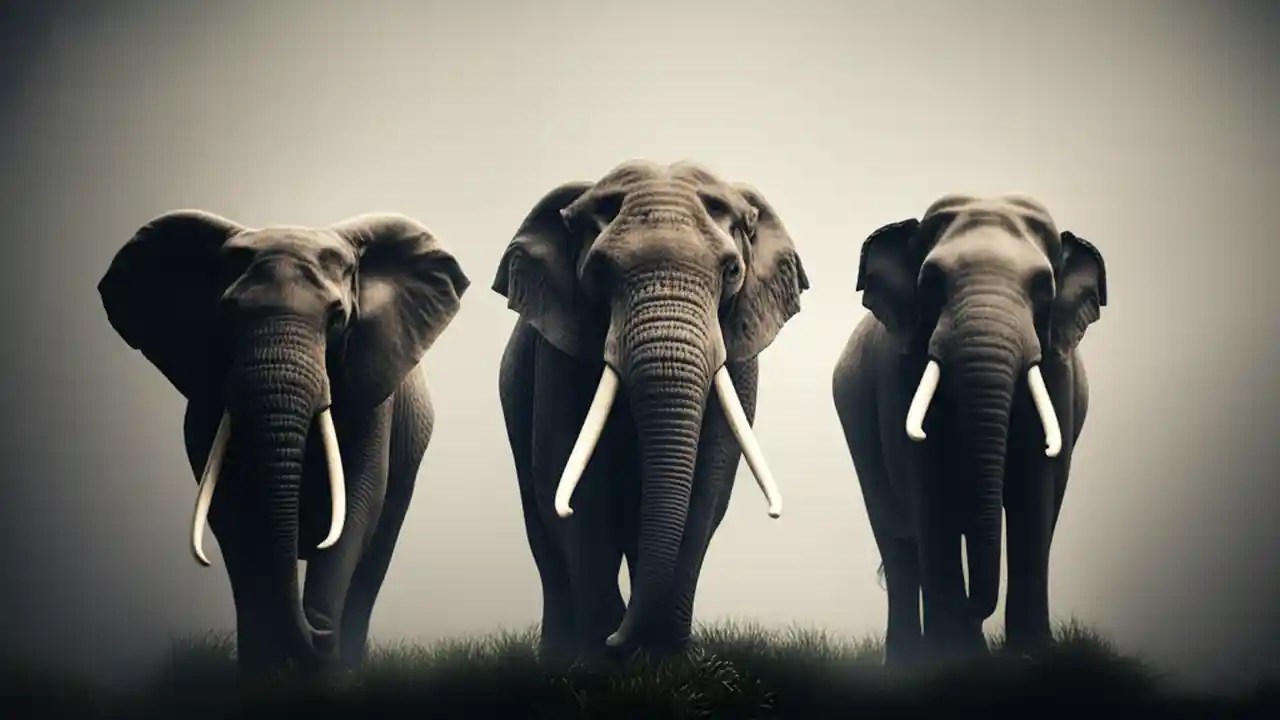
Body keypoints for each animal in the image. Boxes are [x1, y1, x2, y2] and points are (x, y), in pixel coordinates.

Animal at [97, 210, 470, 676]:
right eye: (226, 315)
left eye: (336, 317)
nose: (318, 630)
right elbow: (232, 518)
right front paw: (263, 675)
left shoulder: (371, 396)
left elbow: (357, 506)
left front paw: (326, 674)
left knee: (374, 557)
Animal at [492, 159, 809, 662]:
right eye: (599, 272)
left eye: (732, 270)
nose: (619, 639)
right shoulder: (558, 354)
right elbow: (574, 483)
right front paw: (600, 659)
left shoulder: (738, 352)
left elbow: (709, 484)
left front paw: (666, 659)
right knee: (542, 531)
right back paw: (560, 655)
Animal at [832, 194, 1107, 669]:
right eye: (932, 282)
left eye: (1043, 286)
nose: (975, 610)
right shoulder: (901, 372)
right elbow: (926, 481)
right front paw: (950, 658)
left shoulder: (1058, 372)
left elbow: (1035, 484)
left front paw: (1031, 656)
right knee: (897, 536)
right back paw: (910, 661)